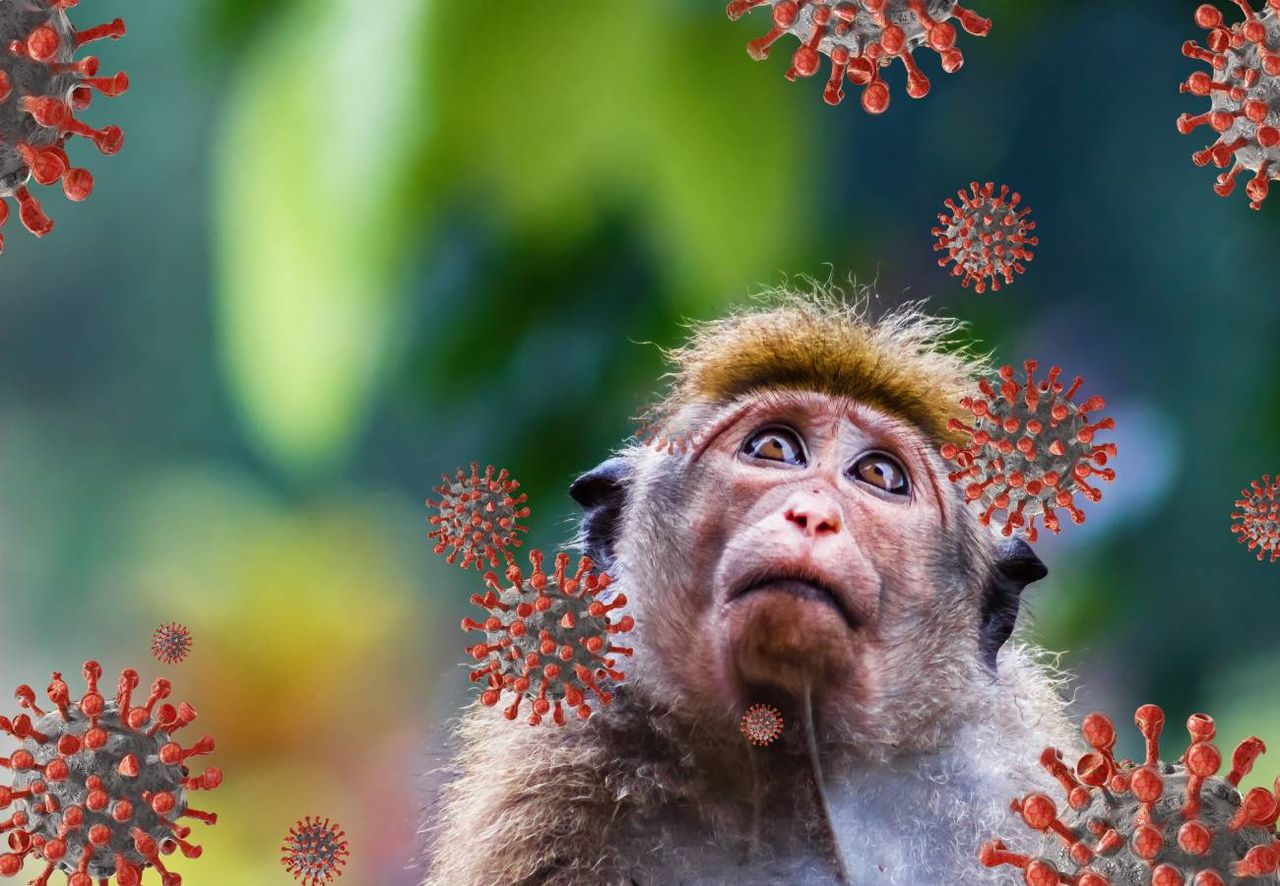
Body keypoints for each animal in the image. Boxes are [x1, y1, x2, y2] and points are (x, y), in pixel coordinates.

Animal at [423, 283, 1082, 885]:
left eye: (878, 474)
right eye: (773, 448)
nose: (814, 515)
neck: (791, 772)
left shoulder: (999, 782)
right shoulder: (554, 782)